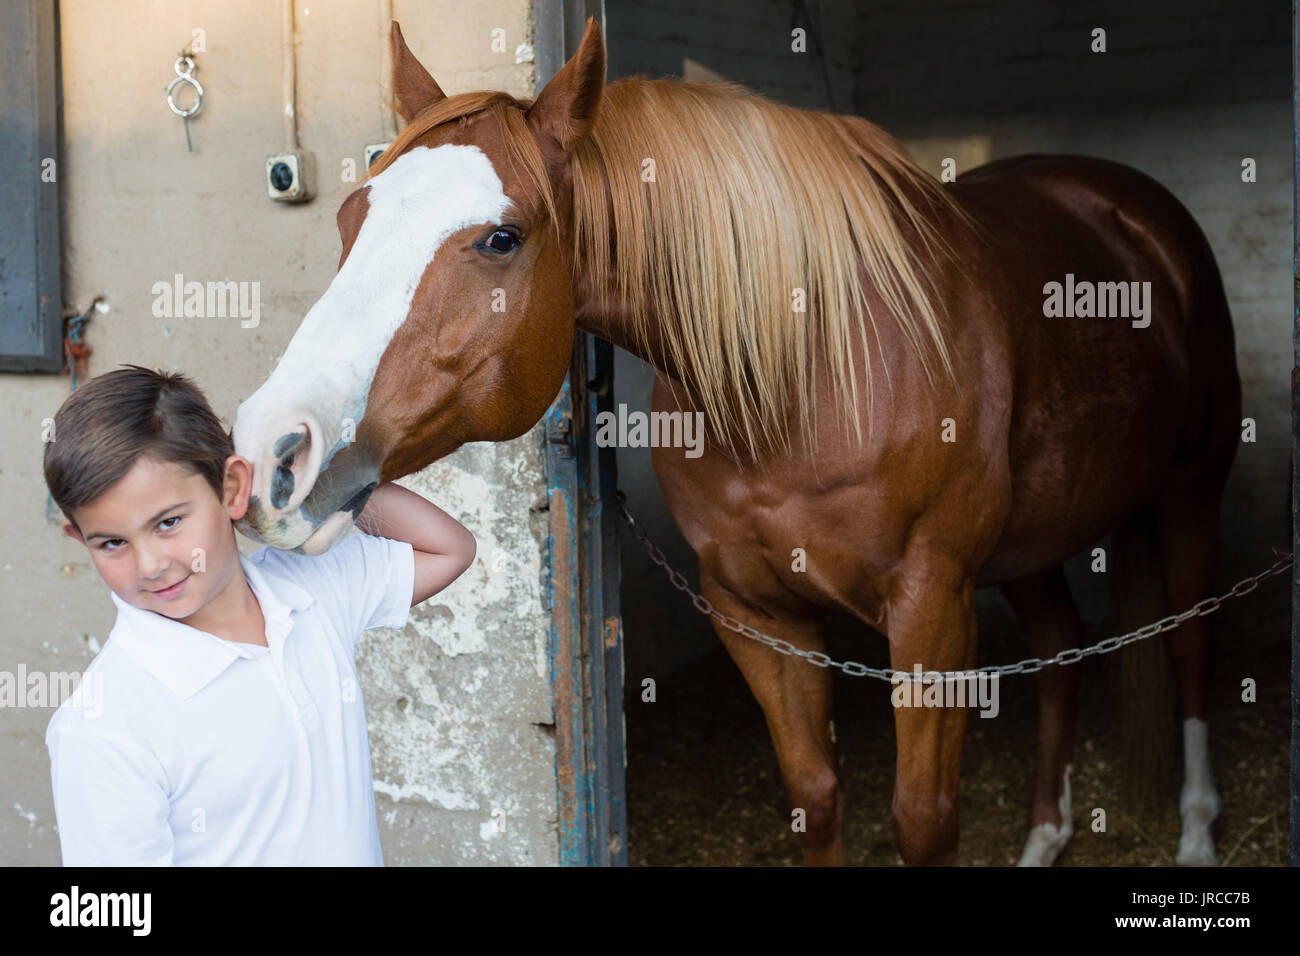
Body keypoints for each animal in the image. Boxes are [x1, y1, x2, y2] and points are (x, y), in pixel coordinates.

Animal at [231, 18, 1240, 865]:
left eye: (501, 240)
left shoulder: (932, 608)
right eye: (350, 221)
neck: (810, 371)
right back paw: (1043, 838)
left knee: (1192, 644)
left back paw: (1196, 836)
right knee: (1061, 648)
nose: (276, 454)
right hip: (1030, 543)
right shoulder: (754, 611)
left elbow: (923, 822)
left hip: (1190, 493)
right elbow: (817, 798)